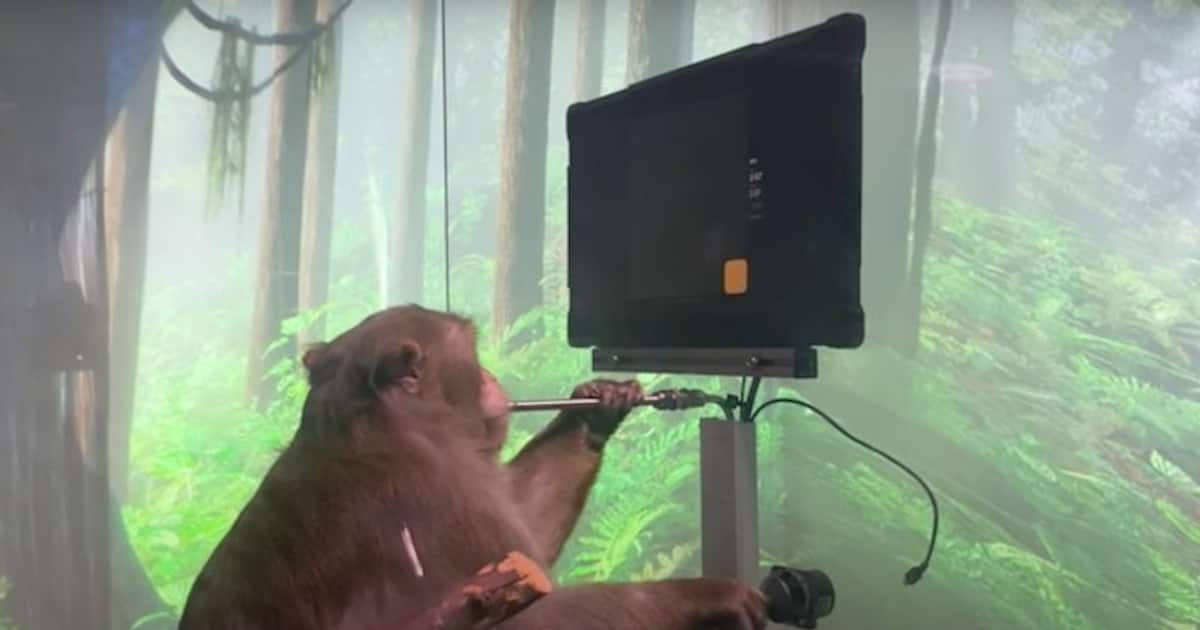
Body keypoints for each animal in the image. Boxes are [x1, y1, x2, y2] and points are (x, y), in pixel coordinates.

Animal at [178, 305, 767, 630]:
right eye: (474, 355)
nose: (492, 378)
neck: (387, 424)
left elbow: (527, 537)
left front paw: (599, 406)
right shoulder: (433, 496)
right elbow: (530, 614)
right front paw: (708, 595)